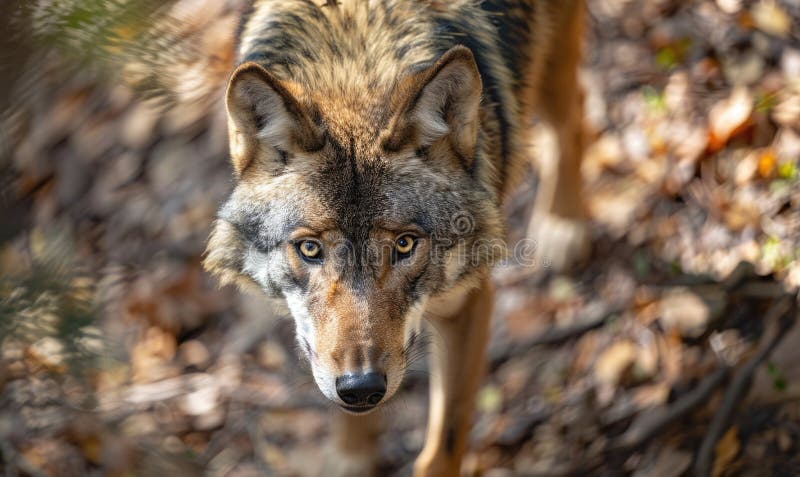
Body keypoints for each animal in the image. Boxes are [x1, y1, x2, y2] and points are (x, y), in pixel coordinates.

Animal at [204, 0, 587, 475]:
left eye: (404, 245)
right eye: (310, 249)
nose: (362, 386)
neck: (353, 65)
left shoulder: (468, 304)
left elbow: (443, 446)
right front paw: (352, 456)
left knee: (573, 117)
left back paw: (563, 223)